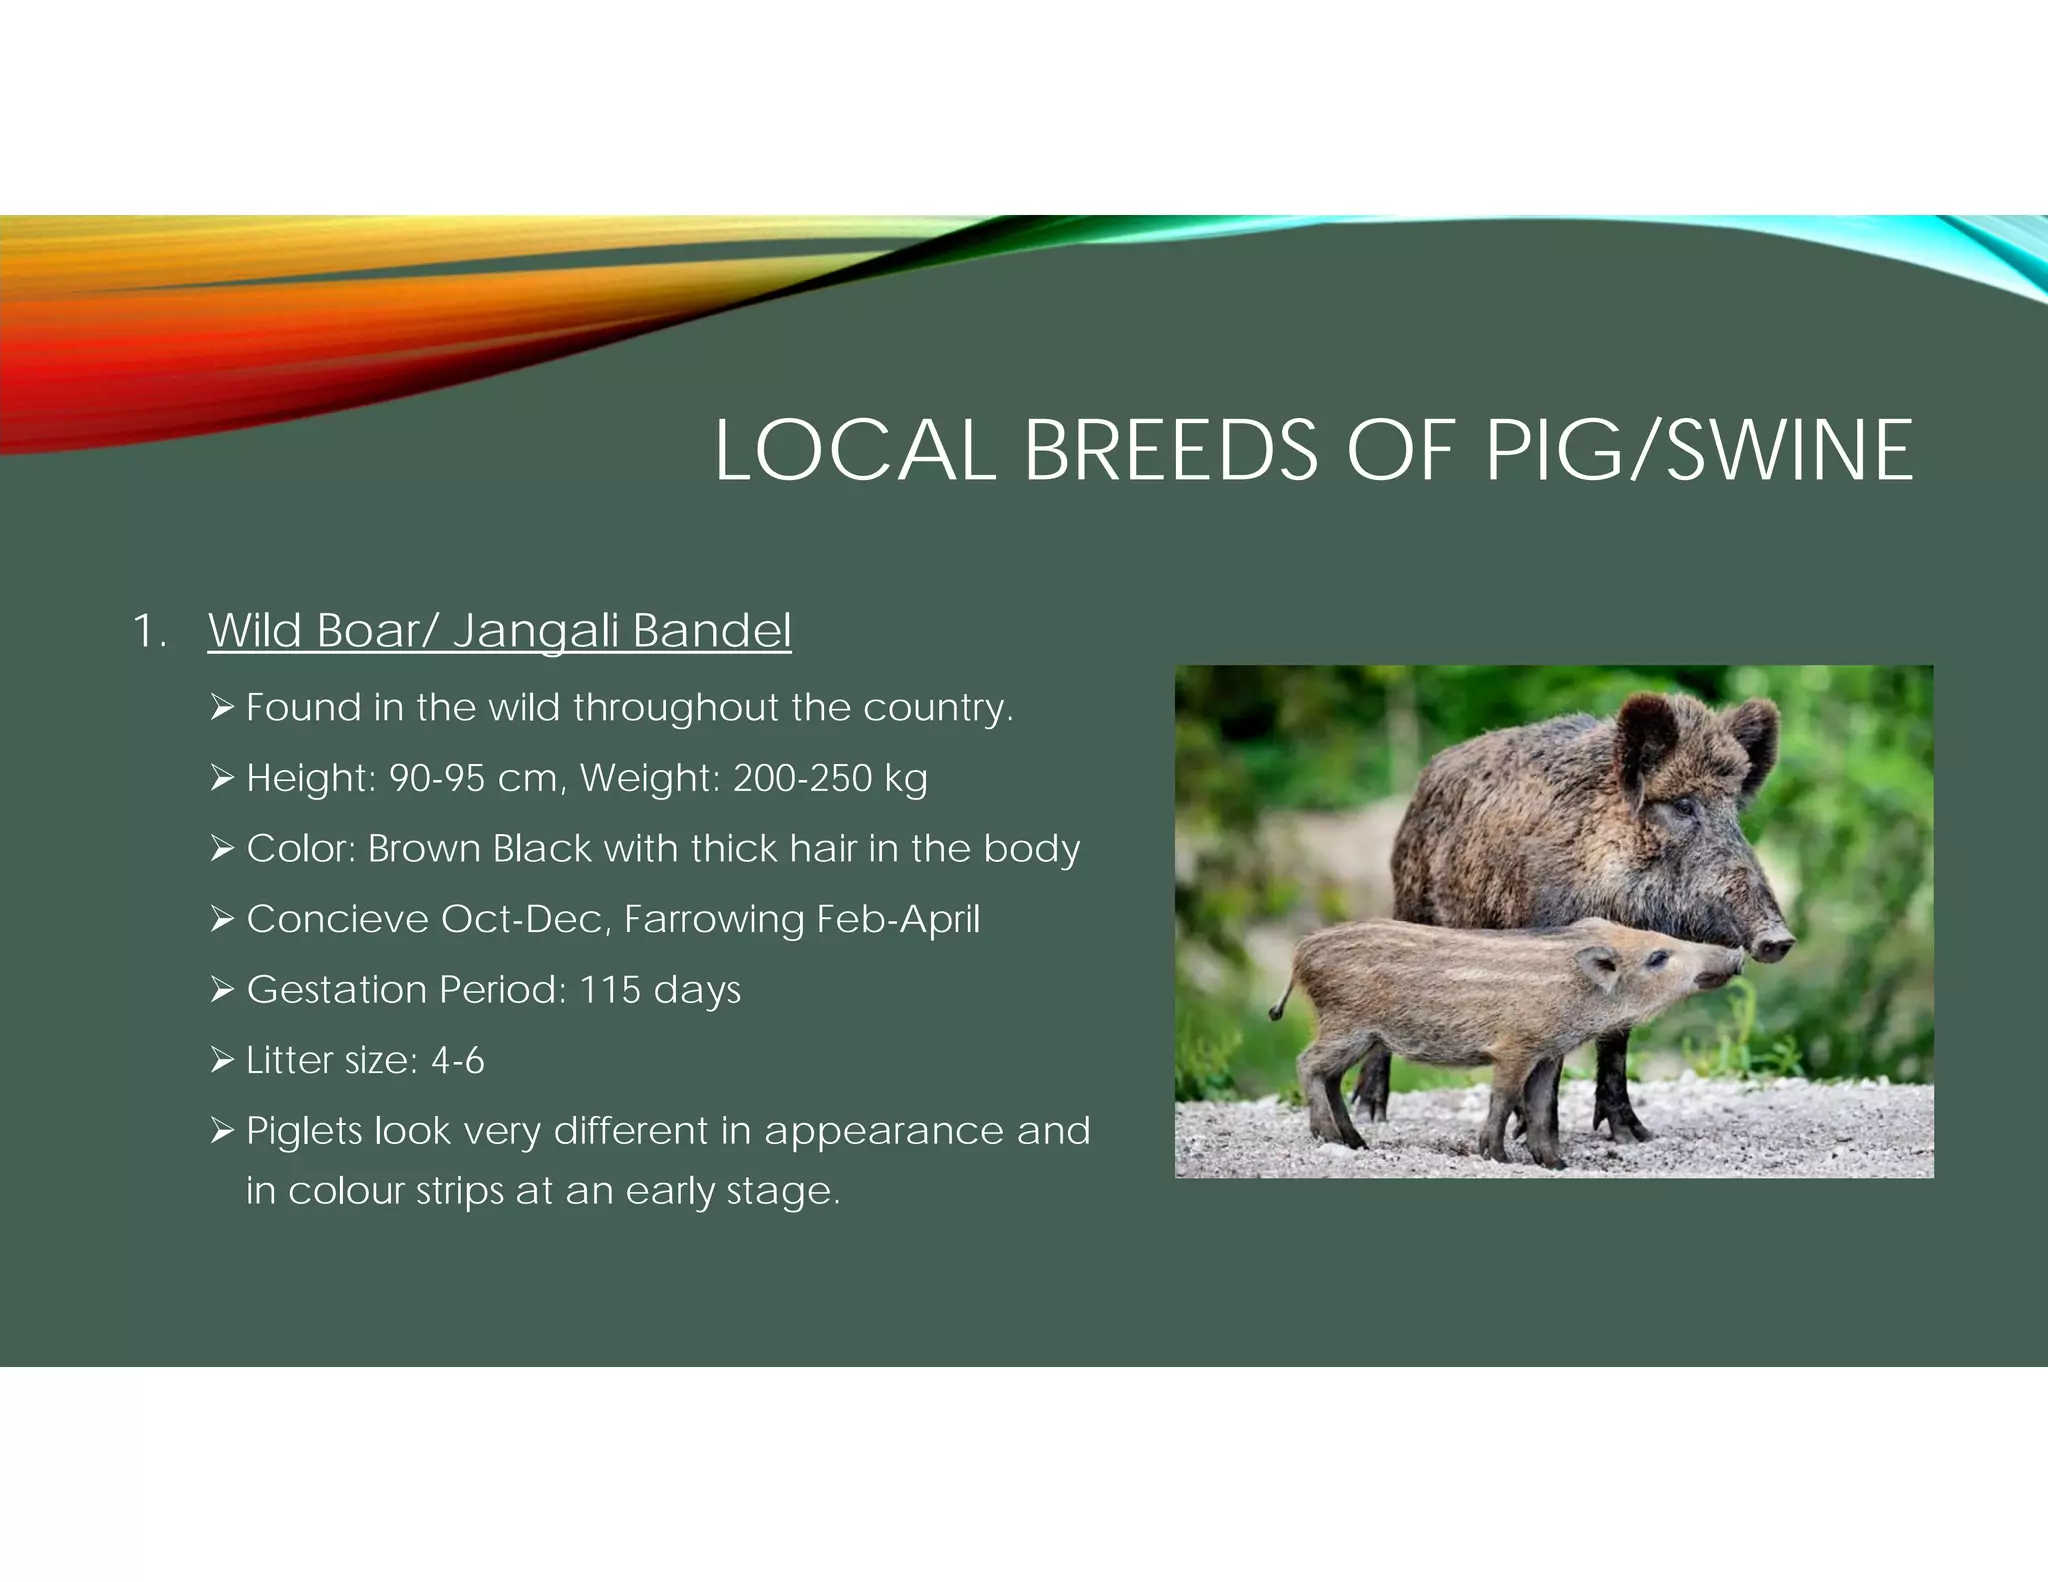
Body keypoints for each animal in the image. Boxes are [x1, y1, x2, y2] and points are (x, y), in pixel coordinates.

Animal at [1272, 917, 1743, 1167]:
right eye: (1658, 957)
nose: (1737, 955)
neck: (1576, 990)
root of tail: (1299, 953)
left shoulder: (1548, 1053)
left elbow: (1541, 1106)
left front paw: (1555, 1163)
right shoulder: (1515, 1047)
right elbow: (1504, 1098)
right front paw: (1496, 1156)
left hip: (1364, 1036)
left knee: (1330, 1078)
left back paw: (1356, 1142)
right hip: (1347, 1026)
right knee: (1307, 1064)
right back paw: (1329, 1138)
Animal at [1353, 691, 1793, 1142]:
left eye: (1733, 812)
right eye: (1684, 805)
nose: (1779, 939)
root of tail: (1426, 777)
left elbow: (1615, 1044)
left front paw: (1633, 1135)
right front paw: (1535, 1135)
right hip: (1412, 903)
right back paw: (1370, 1114)